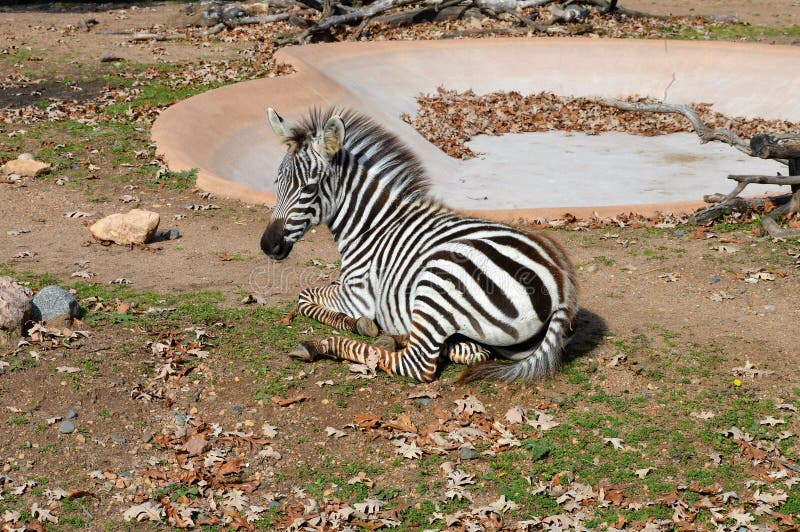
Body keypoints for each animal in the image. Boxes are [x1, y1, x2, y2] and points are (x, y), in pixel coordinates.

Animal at [260, 107, 578, 383]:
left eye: (309, 188)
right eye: (277, 182)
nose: (267, 245)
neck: (373, 224)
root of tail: (561, 286)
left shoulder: (357, 295)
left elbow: (304, 297)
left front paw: (356, 323)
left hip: (439, 278)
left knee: (417, 364)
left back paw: (321, 345)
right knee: (469, 350)